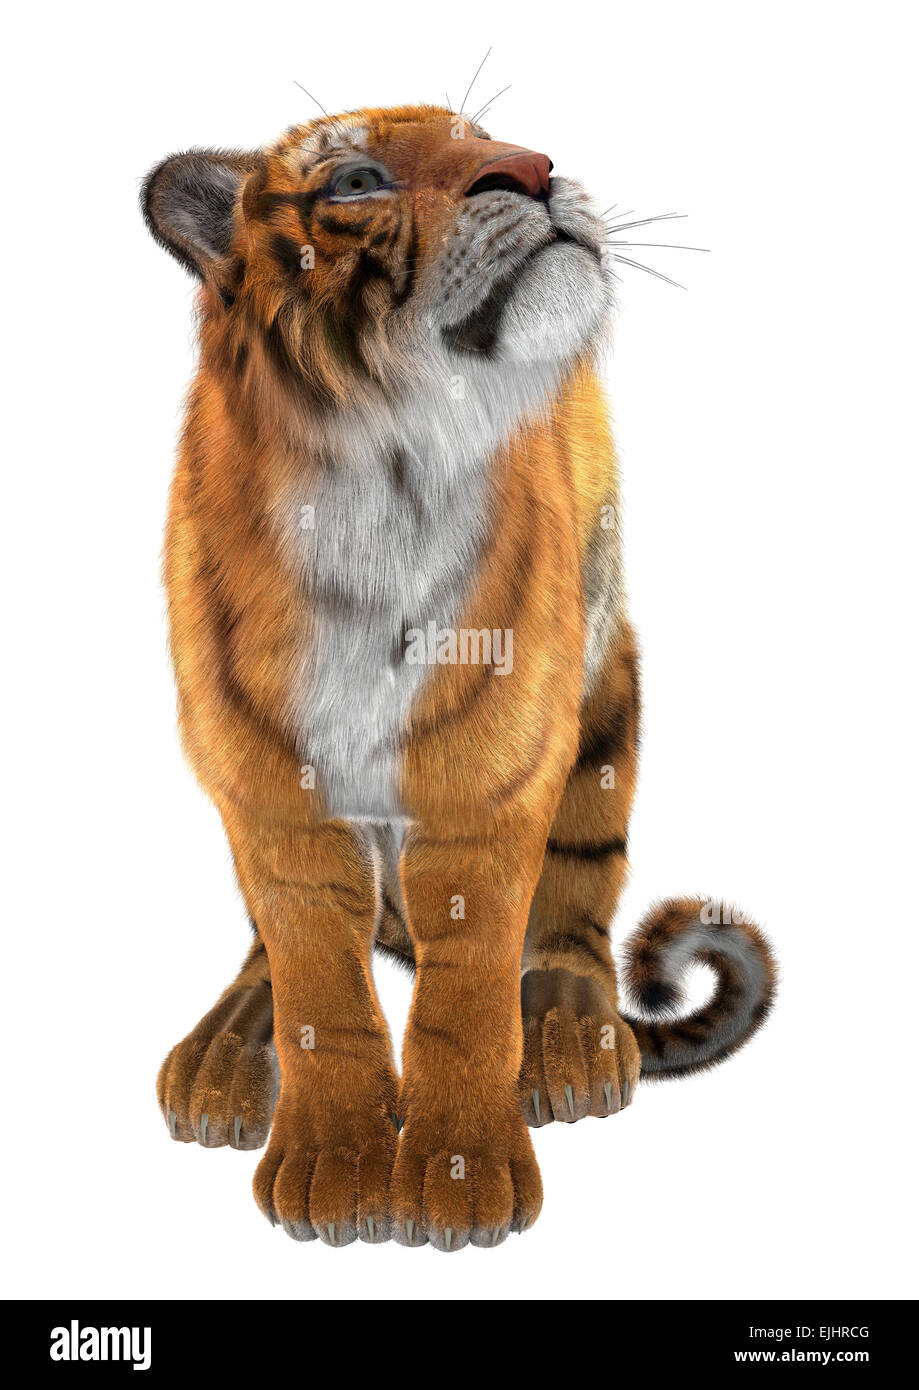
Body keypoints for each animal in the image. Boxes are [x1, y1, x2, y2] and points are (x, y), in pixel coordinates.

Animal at [143, 103, 776, 1251]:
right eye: (356, 178)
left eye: (488, 134)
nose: (533, 168)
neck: (388, 474)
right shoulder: (271, 787)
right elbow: (319, 977)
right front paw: (338, 1169)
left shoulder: (485, 788)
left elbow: (466, 994)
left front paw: (455, 1174)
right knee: (274, 942)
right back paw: (224, 1052)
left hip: (602, 703)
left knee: (571, 915)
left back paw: (569, 1035)